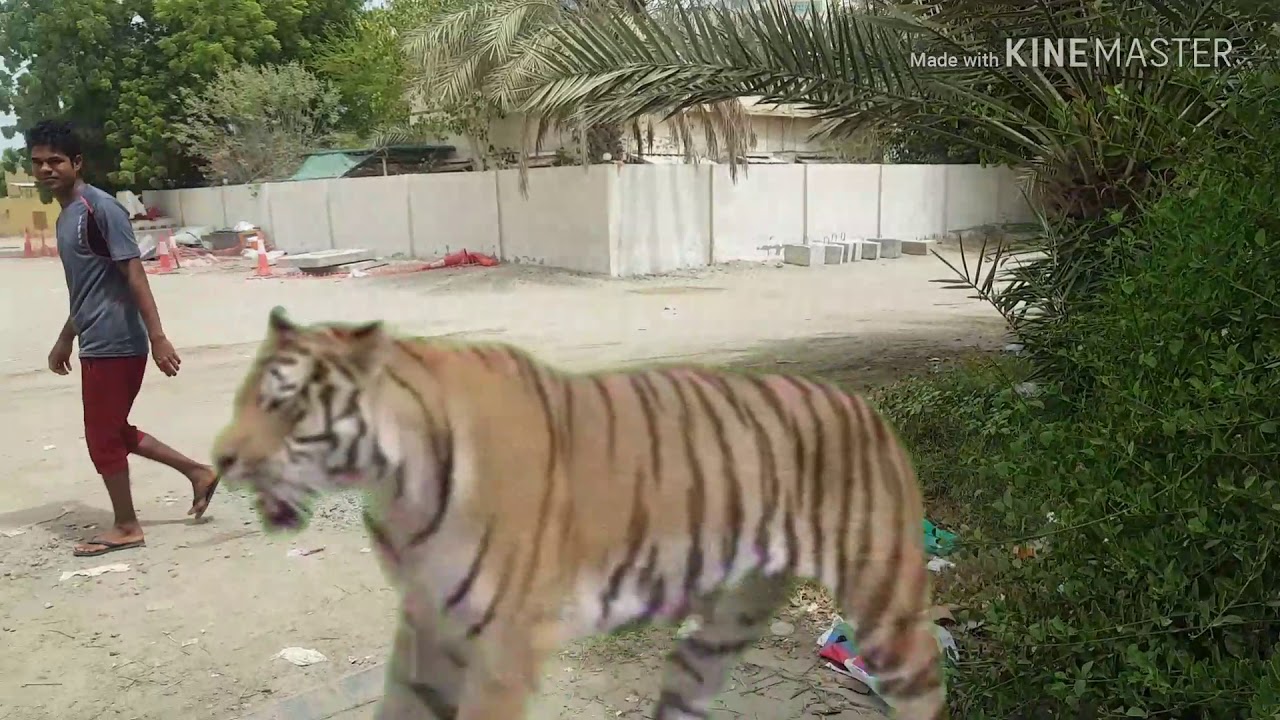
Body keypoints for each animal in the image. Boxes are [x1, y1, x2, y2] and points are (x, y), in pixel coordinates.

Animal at [211, 306, 946, 720]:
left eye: (283, 403)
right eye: (243, 396)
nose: (218, 460)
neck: (393, 485)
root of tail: (870, 409)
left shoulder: (504, 646)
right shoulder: (427, 628)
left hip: (884, 605)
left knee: (923, 684)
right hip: (725, 622)